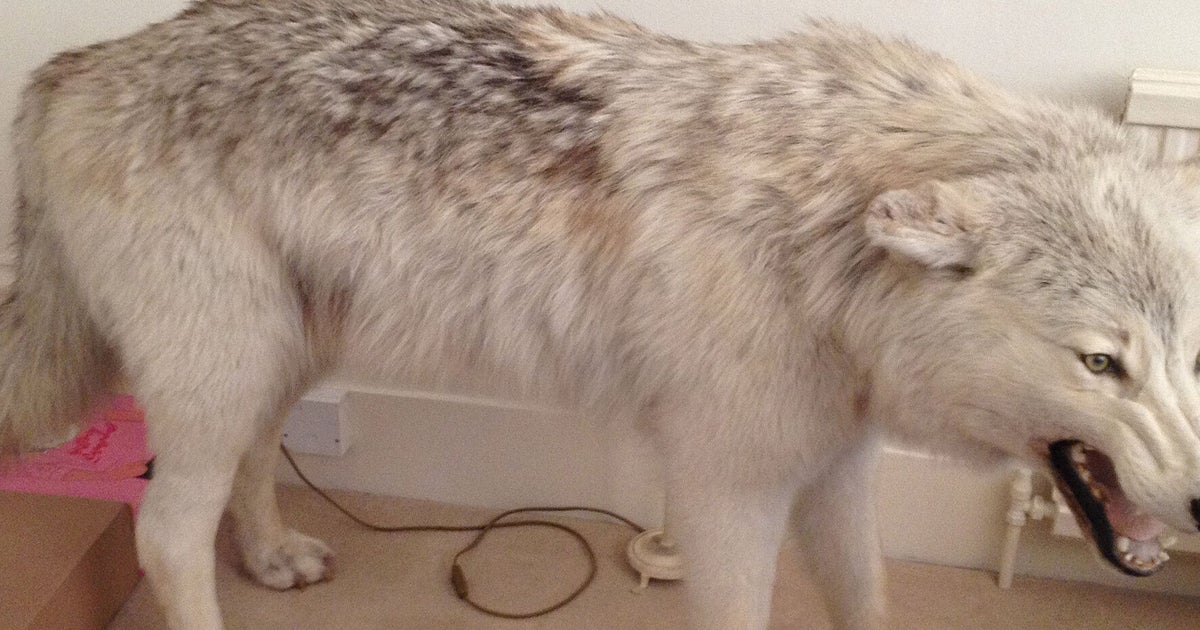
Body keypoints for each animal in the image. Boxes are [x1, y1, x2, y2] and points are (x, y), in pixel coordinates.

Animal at [5, 0, 1200, 628]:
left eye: (1183, 349)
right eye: (1102, 364)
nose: (1199, 505)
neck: (822, 243)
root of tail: (73, 66)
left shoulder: (838, 471)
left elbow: (868, 603)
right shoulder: (728, 492)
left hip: (274, 358)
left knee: (253, 464)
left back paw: (272, 560)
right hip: (223, 366)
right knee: (164, 533)